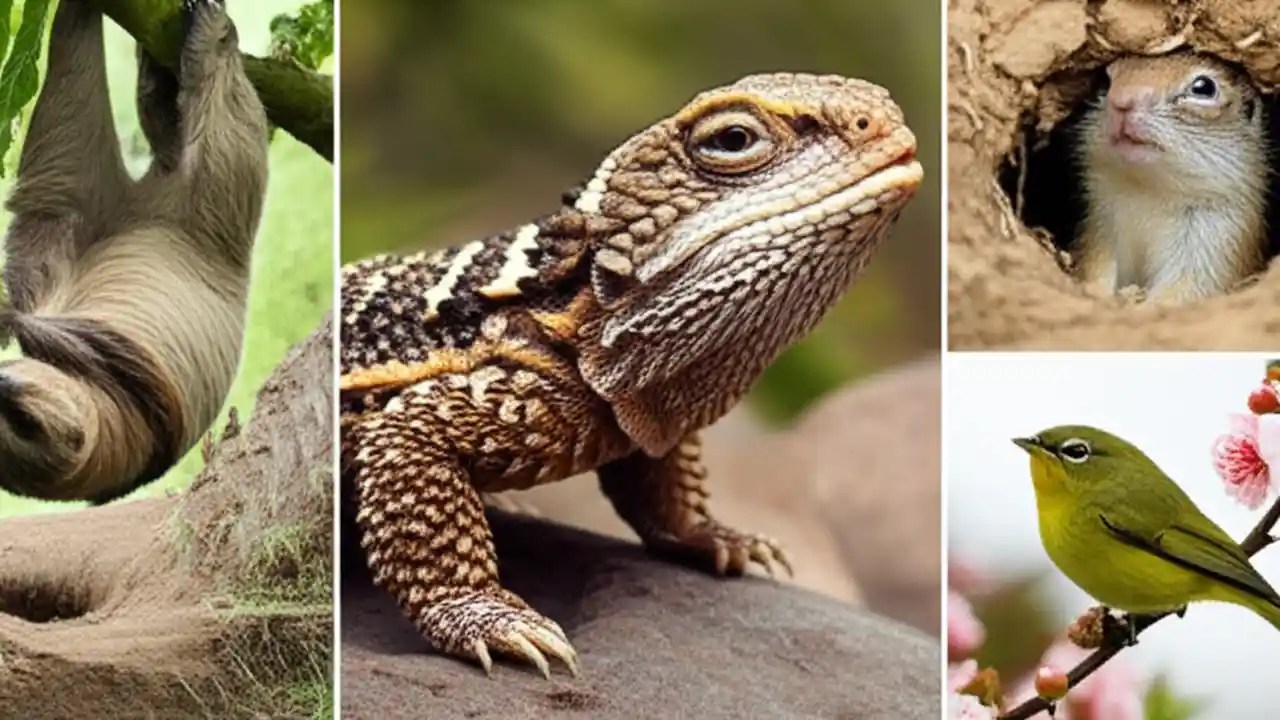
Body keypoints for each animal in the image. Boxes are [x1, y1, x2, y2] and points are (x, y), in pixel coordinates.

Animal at [0, 0, 269, 503]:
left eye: (23, 419)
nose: (5, 382)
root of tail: (147, 206)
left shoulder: (126, 370)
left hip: (204, 209)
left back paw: (195, 43)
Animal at [1075, 52, 1269, 302]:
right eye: (1104, 80)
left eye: (1204, 87)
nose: (1120, 100)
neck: (1149, 190)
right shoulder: (1101, 227)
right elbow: (1096, 269)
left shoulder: (1218, 241)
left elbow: (1181, 292)